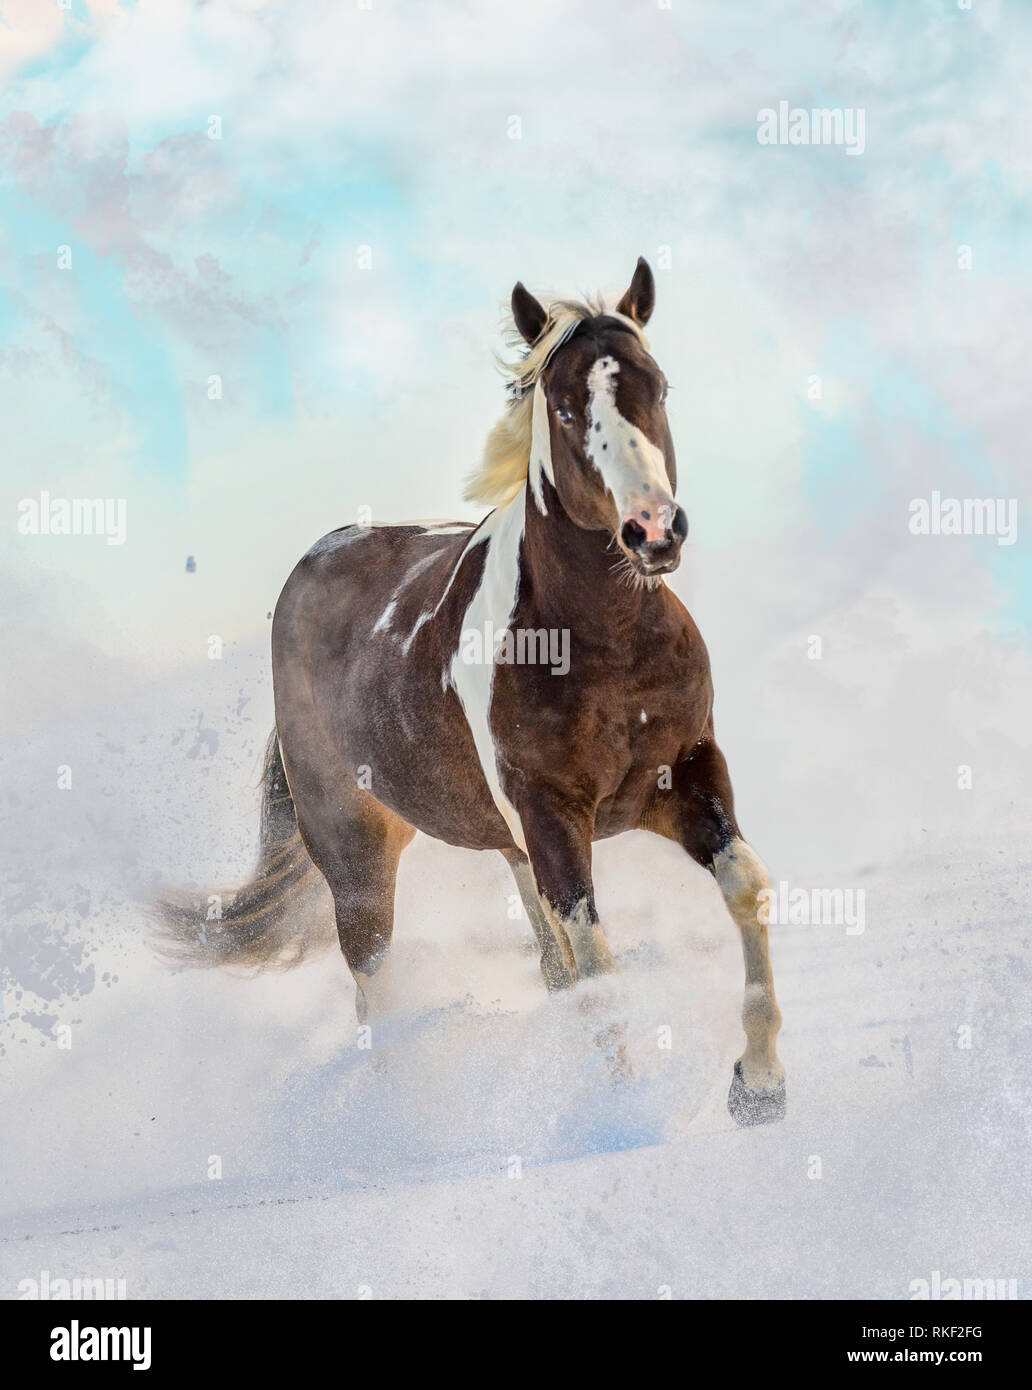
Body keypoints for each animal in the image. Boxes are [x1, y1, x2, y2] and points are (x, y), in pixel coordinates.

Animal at [158, 258, 786, 1126]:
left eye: (658, 386)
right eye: (566, 407)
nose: (654, 532)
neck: (605, 645)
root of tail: (316, 562)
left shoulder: (685, 772)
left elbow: (744, 889)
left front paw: (759, 1085)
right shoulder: (553, 819)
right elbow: (596, 958)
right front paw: (623, 1108)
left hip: (507, 846)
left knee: (541, 963)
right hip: (359, 855)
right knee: (375, 987)